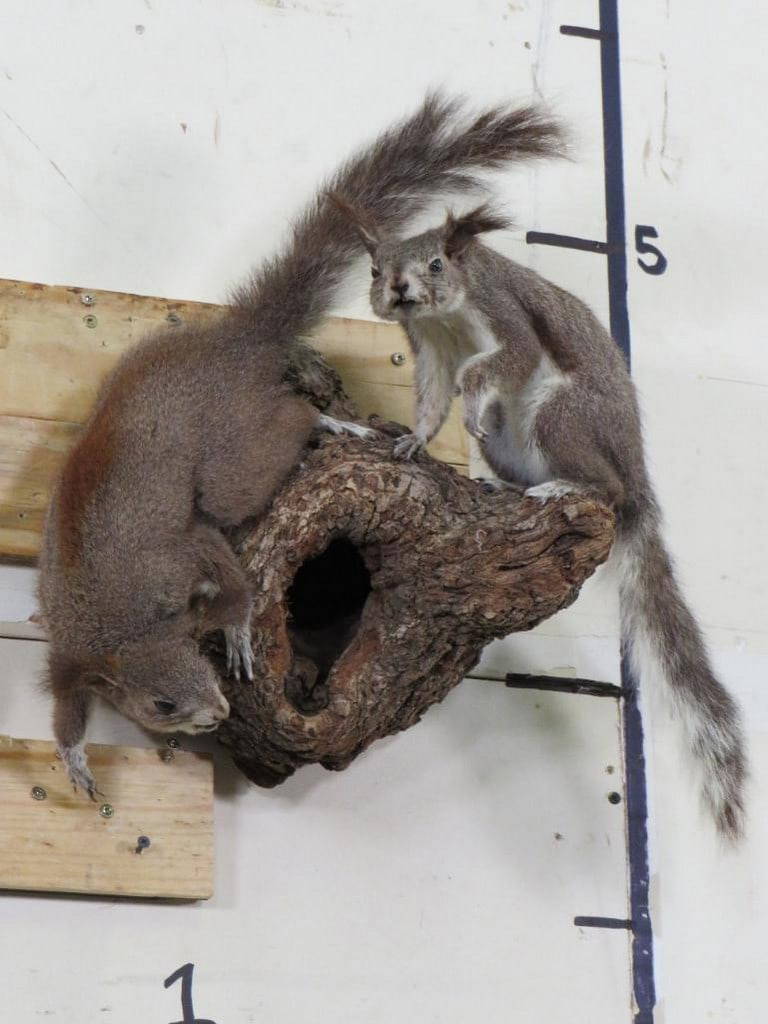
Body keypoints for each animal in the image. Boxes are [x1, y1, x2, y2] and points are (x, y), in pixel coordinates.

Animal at [38, 93, 567, 797]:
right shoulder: (71, 654)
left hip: (233, 459)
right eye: (162, 705)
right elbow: (67, 709)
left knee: (284, 426)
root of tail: (237, 344)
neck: (124, 622)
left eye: (198, 665)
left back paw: (329, 425)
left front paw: (238, 629)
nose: (219, 713)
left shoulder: (183, 554)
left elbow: (230, 578)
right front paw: (75, 759)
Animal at [332, 199, 747, 840]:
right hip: (513, 439)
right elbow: (431, 397)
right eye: (376, 269)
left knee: (607, 488)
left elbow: (500, 362)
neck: (449, 312)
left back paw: (566, 485)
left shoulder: (504, 314)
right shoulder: (430, 347)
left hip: (562, 416)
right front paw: (415, 442)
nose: (398, 290)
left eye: (436, 263)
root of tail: (633, 465)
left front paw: (468, 405)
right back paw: (504, 483)